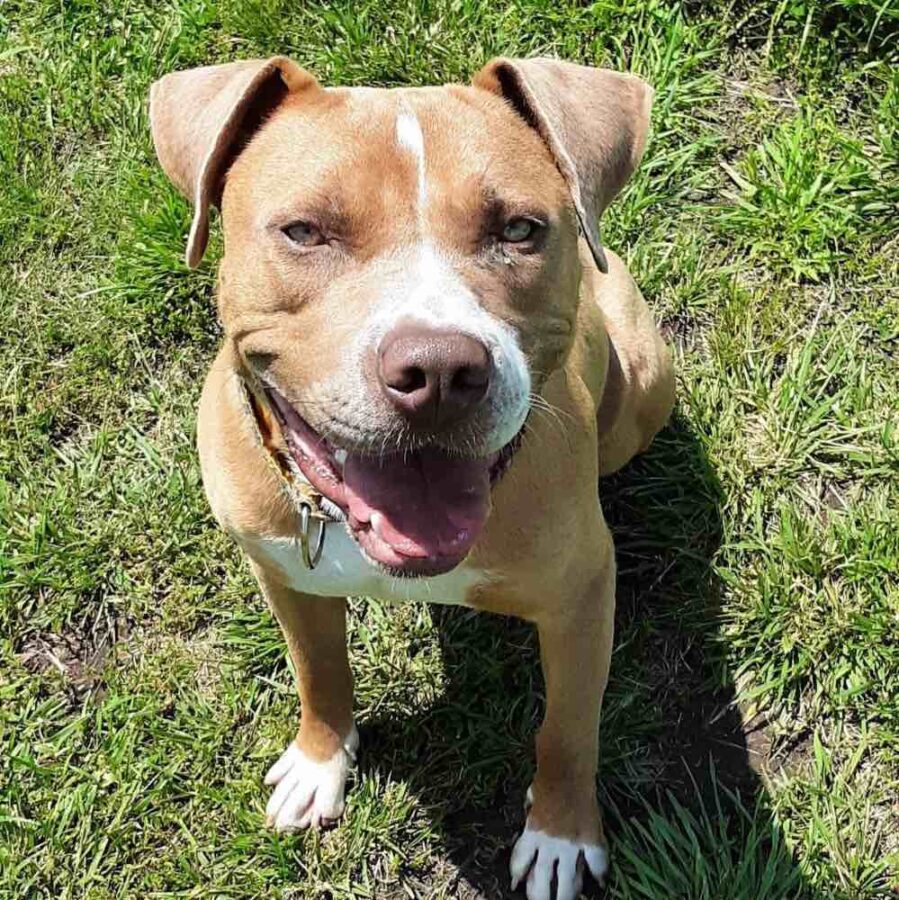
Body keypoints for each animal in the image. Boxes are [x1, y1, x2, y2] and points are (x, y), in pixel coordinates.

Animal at [150, 55, 674, 900]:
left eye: (518, 229)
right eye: (304, 231)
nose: (438, 371)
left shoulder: (578, 600)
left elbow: (567, 728)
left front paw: (560, 835)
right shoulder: (283, 576)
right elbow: (318, 670)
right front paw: (320, 760)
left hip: (643, 384)